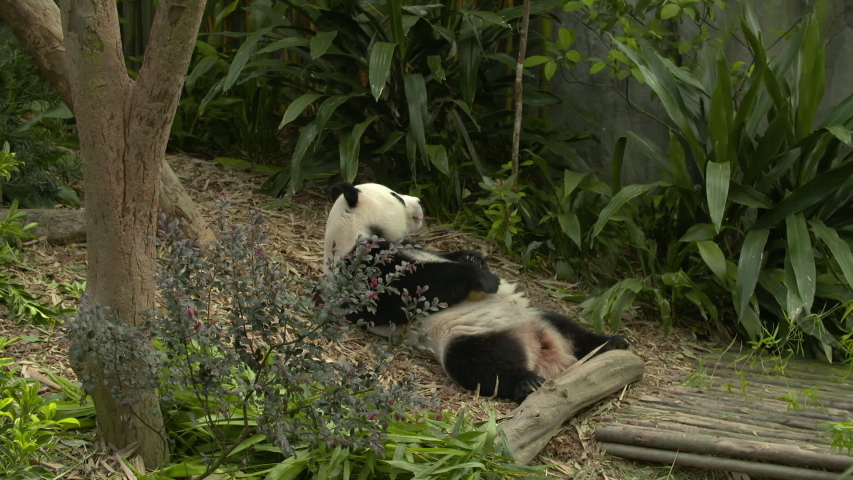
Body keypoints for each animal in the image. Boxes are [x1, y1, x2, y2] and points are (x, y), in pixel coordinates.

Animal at [324, 181, 630, 403]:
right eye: (396, 196)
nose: (419, 202)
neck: (351, 234)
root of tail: (543, 352)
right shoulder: (360, 268)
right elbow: (409, 292)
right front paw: (485, 279)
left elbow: (451, 256)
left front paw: (476, 259)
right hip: (465, 337)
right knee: (483, 365)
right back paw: (527, 383)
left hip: (539, 316)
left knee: (572, 331)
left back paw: (612, 343)